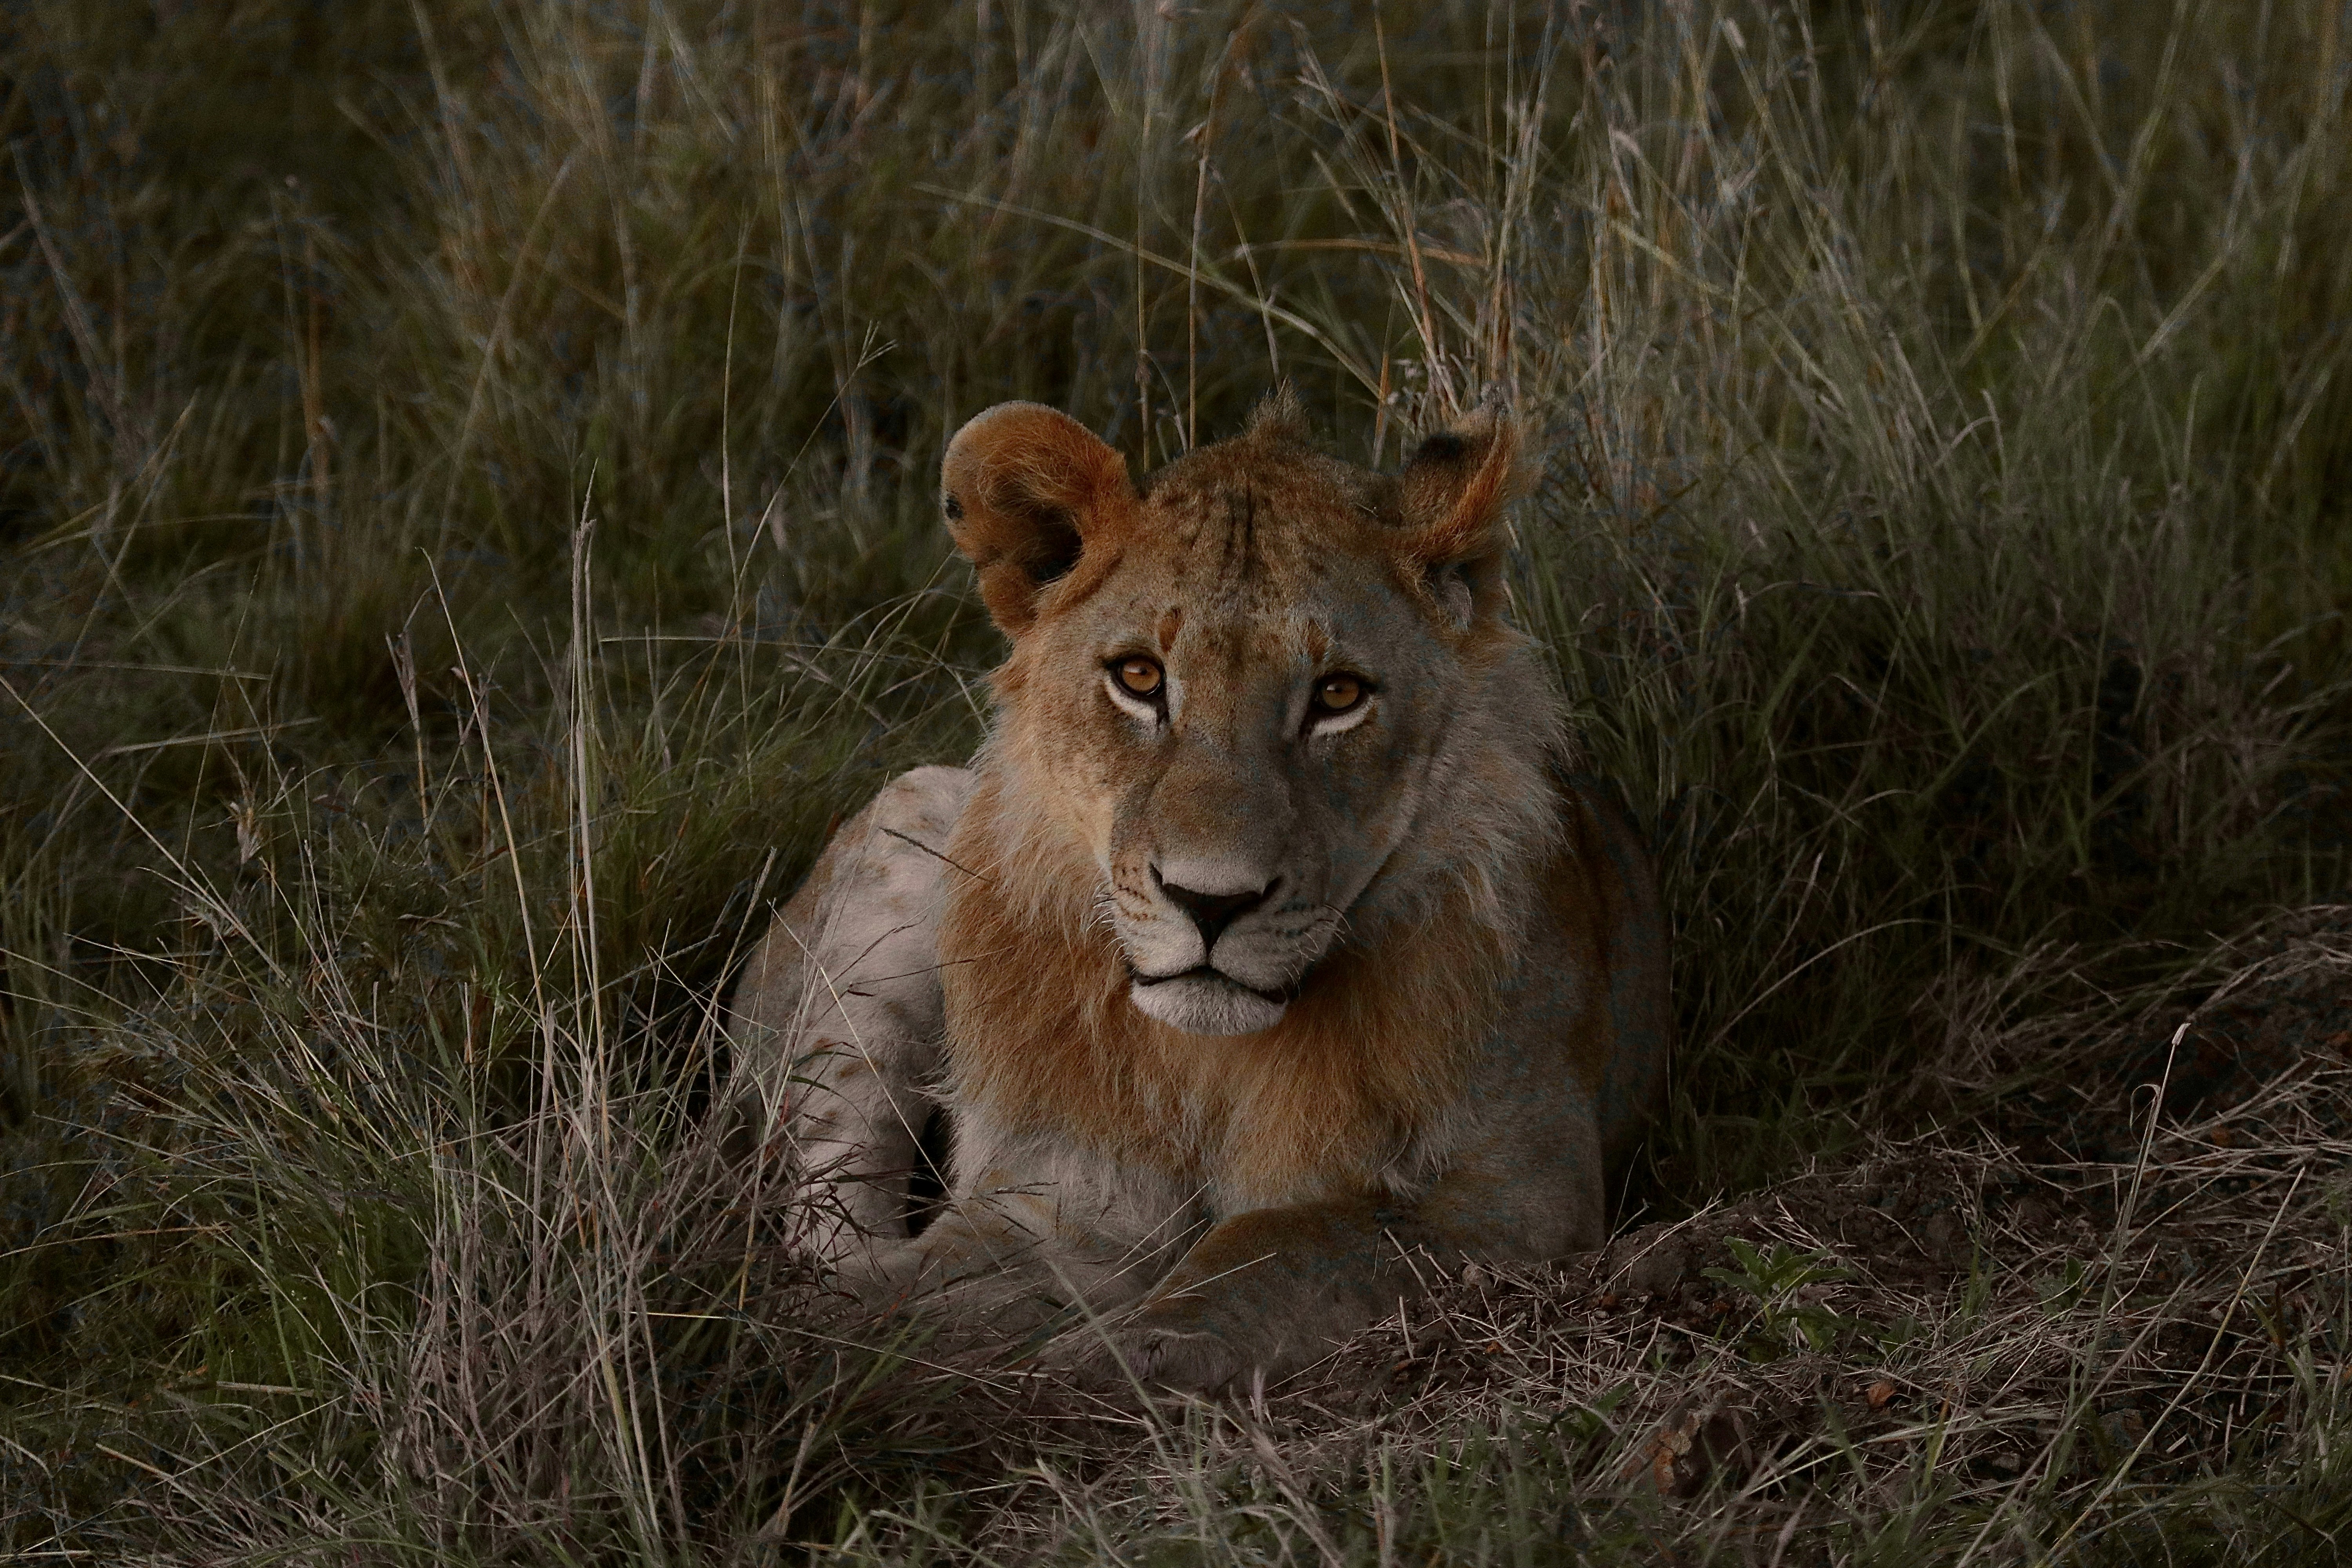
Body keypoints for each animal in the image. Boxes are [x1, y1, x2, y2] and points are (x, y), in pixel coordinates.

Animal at [726, 390, 1671, 1394]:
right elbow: (927, 1278)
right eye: (1139, 677)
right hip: (914, 817)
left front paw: (1122, 1347)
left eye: (1339, 695)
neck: (1213, 1062)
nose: (1211, 902)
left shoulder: (1524, 1194)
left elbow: (1281, 1244)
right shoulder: (1068, 1193)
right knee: (825, 1220)